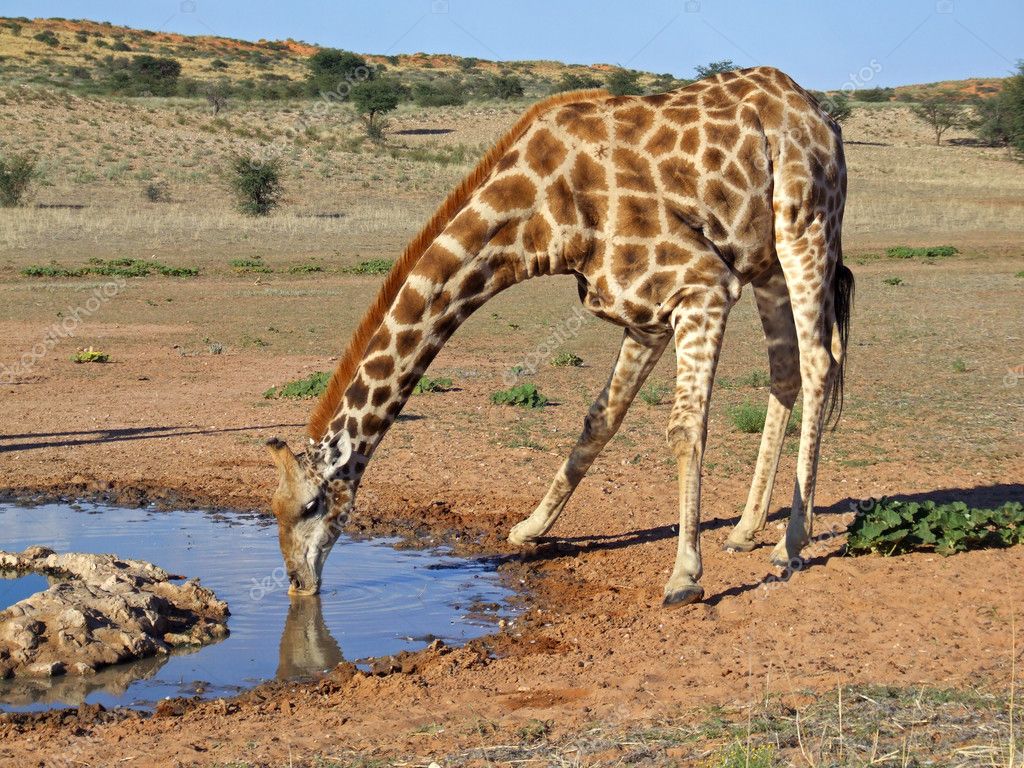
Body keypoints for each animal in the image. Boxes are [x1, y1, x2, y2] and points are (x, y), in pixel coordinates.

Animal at [267, 66, 854, 606]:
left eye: (311, 505)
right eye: (272, 508)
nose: (298, 583)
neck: (537, 221)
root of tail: (821, 116)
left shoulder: (702, 285)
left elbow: (685, 429)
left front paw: (685, 577)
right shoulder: (645, 314)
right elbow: (600, 419)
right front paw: (530, 528)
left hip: (806, 226)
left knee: (817, 363)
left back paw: (790, 544)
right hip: (765, 260)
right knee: (786, 370)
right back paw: (748, 530)